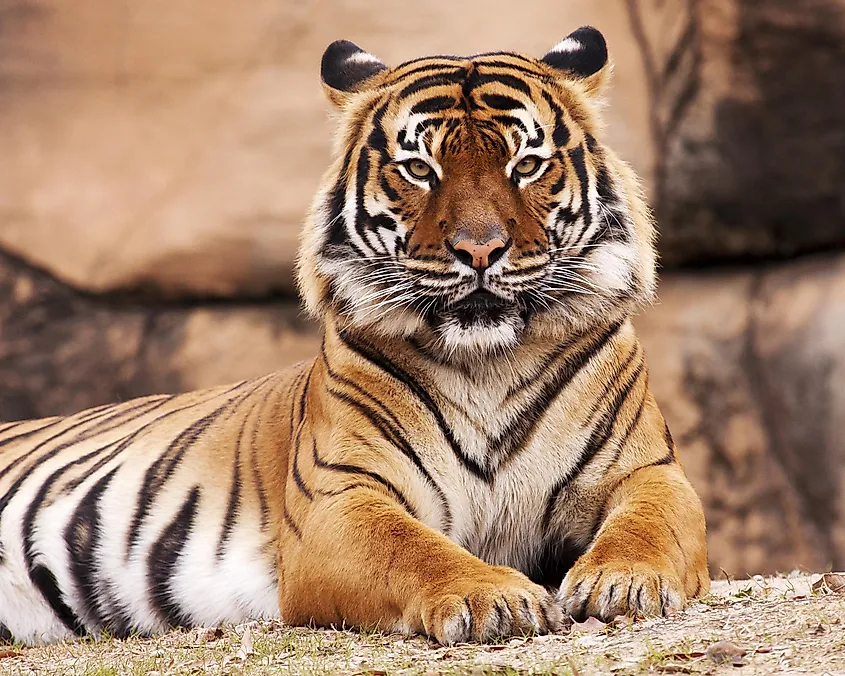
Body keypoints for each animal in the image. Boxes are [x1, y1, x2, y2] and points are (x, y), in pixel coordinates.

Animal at [0, 26, 709, 646]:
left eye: (527, 165)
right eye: (419, 168)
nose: (480, 251)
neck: (488, 362)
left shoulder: (649, 471)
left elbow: (651, 525)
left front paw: (624, 582)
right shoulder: (340, 499)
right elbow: (413, 550)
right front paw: (493, 597)